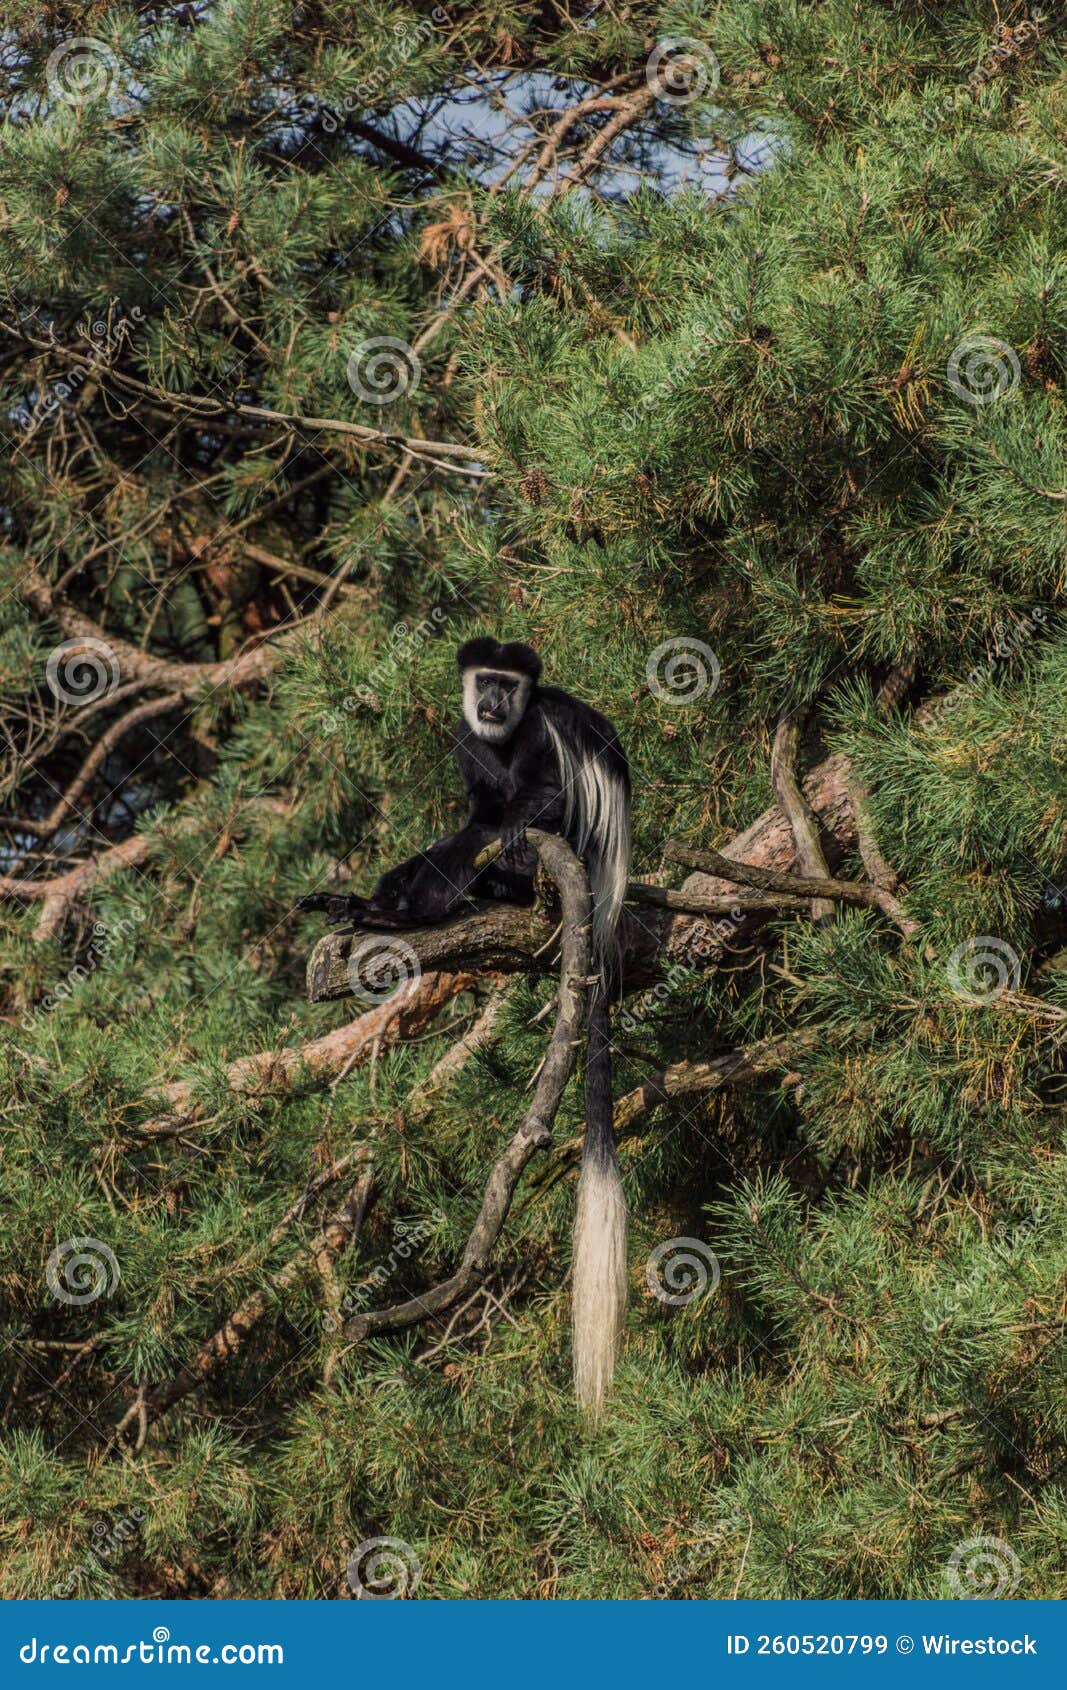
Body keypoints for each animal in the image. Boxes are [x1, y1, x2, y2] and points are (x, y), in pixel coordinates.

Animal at [299, 637, 631, 1411]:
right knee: (463, 839)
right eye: (485, 681)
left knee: (492, 835)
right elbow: (474, 800)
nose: (493, 702)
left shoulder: (539, 729)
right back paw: (376, 907)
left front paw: (505, 832)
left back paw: (415, 907)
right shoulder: (464, 736)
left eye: (510, 684)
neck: (504, 733)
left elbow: (534, 798)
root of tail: (604, 900)